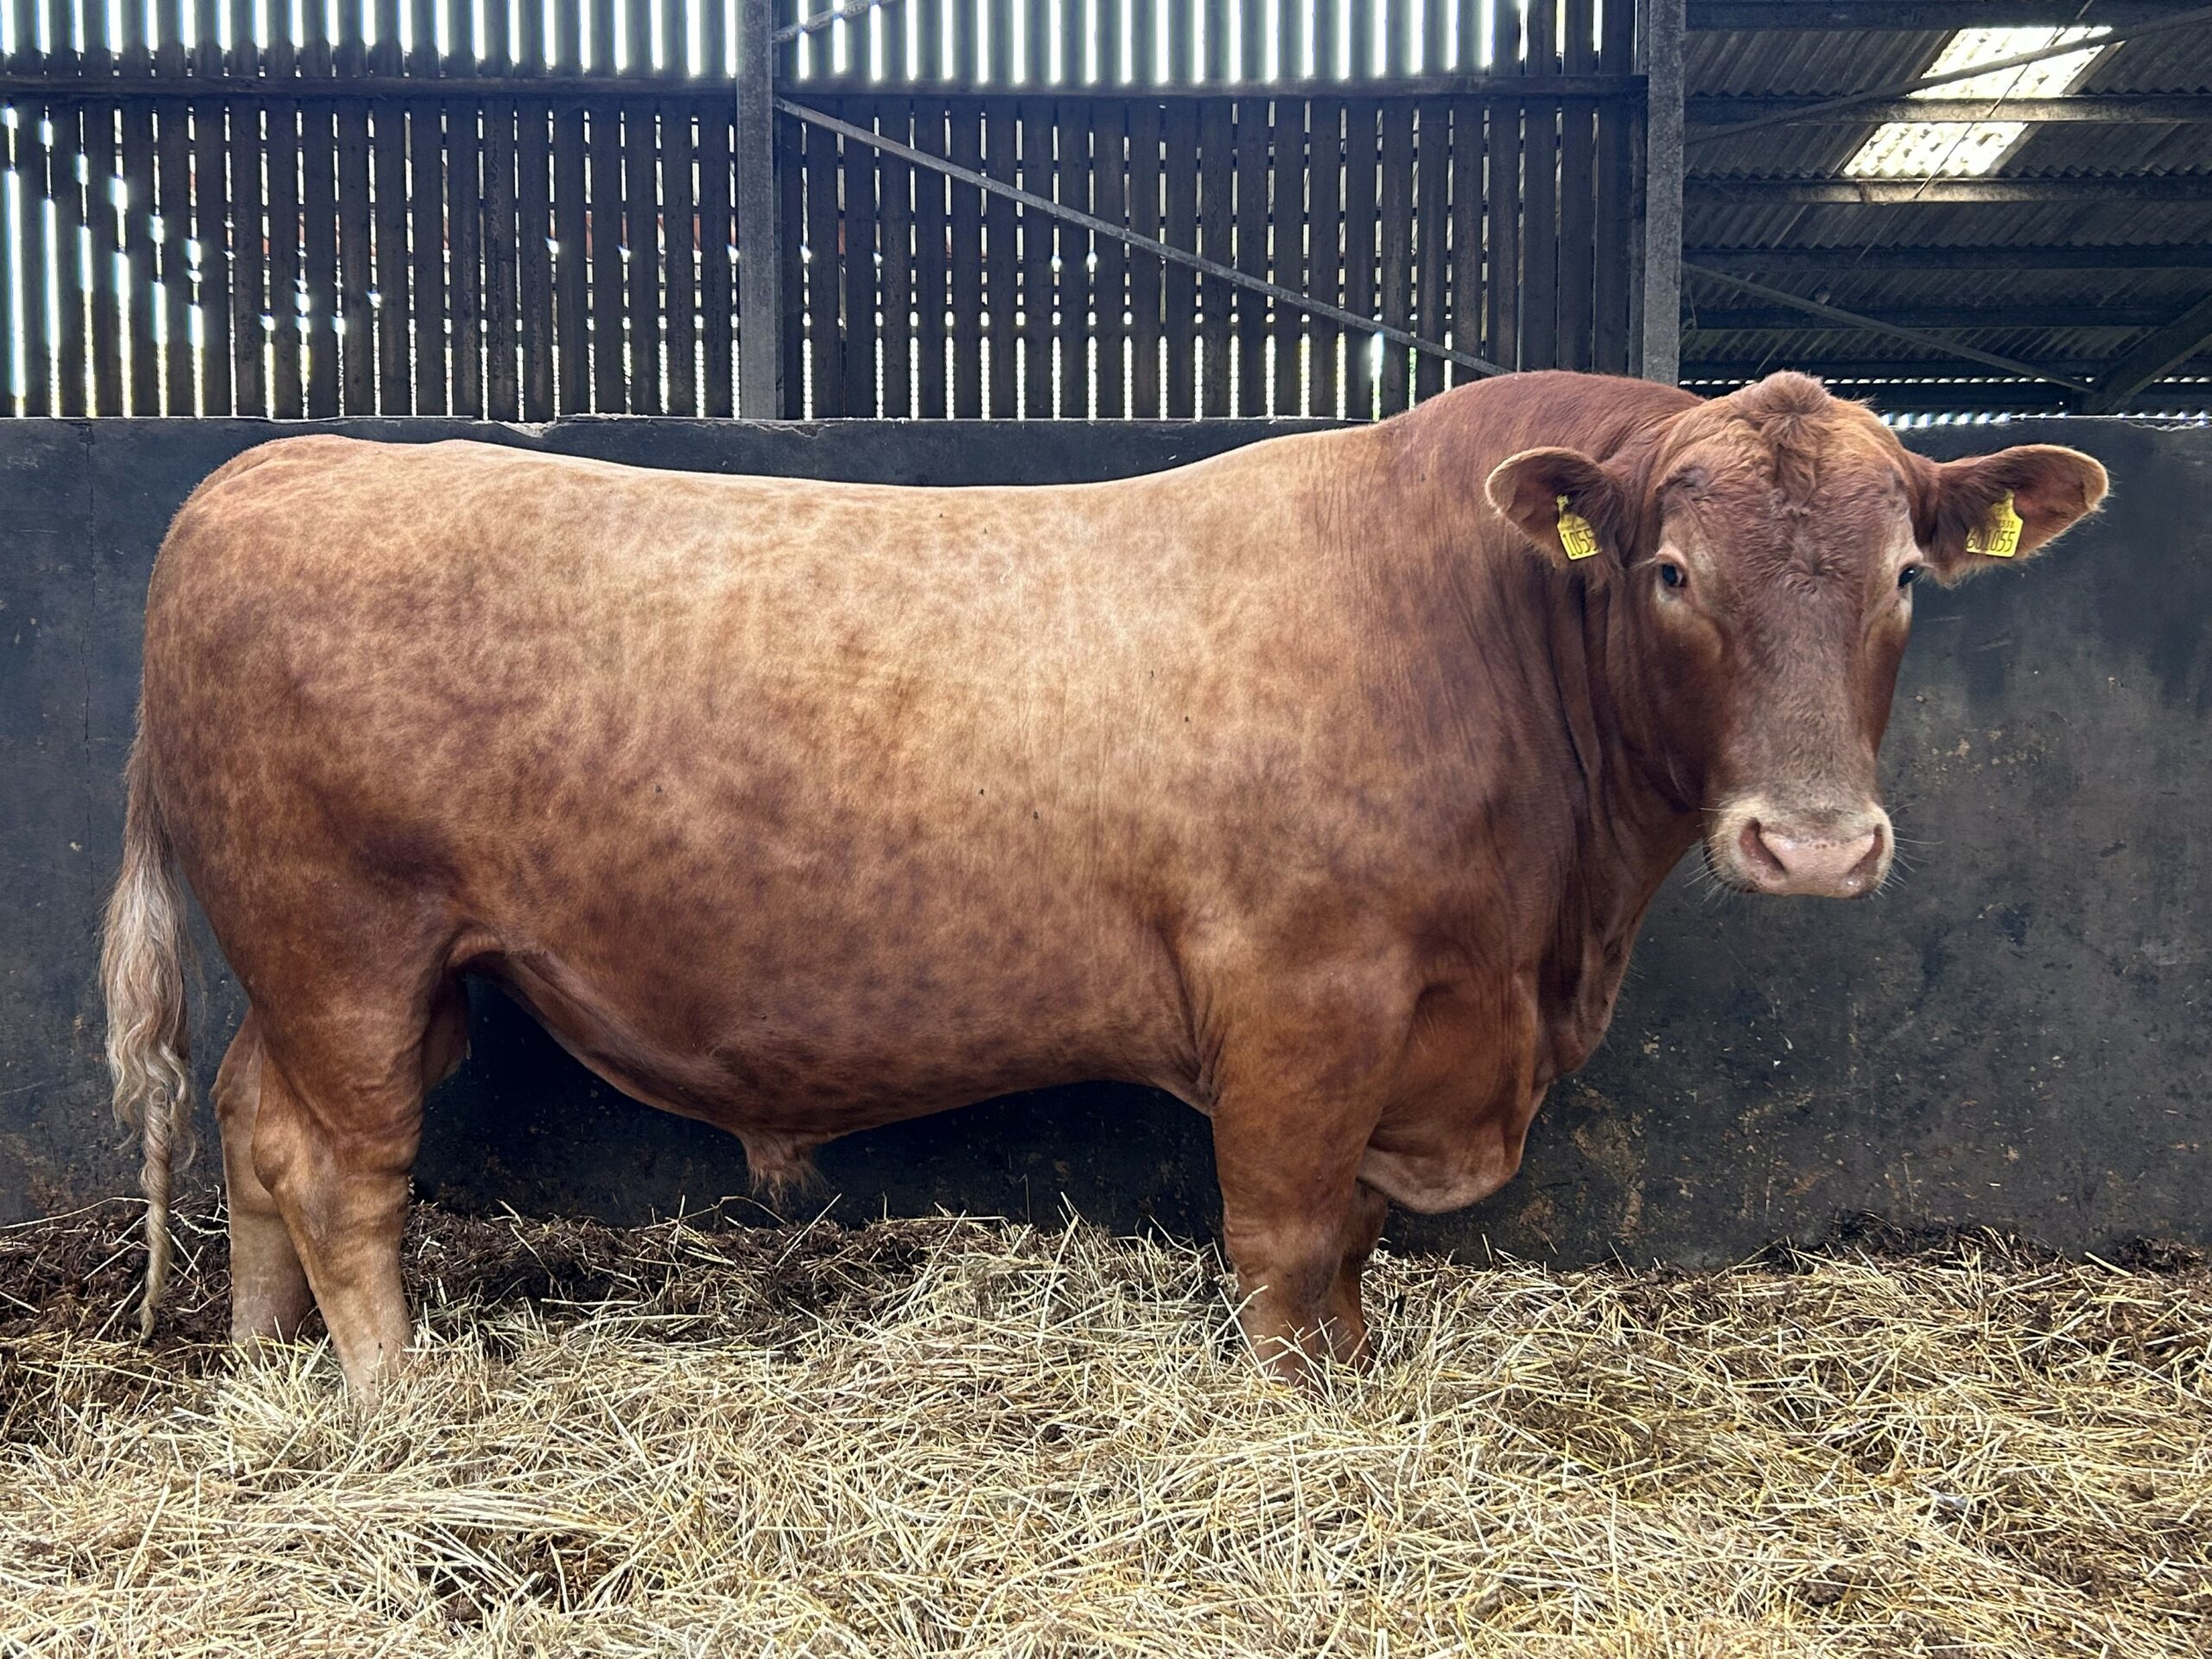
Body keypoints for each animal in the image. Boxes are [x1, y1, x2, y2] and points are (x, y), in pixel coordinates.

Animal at [100, 371, 2105, 1396]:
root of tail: (273, 464)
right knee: (337, 1169)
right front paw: (1303, 1417)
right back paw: (395, 1395)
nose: (1812, 842)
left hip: (377, 966)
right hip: (347, 936)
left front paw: (1358, 1372)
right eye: (1671, 572)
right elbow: (1286, 1233)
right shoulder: (1304, 987)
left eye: (1906, 576)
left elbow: (1347, 1243)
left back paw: (264, 1375)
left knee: (249, 1120)